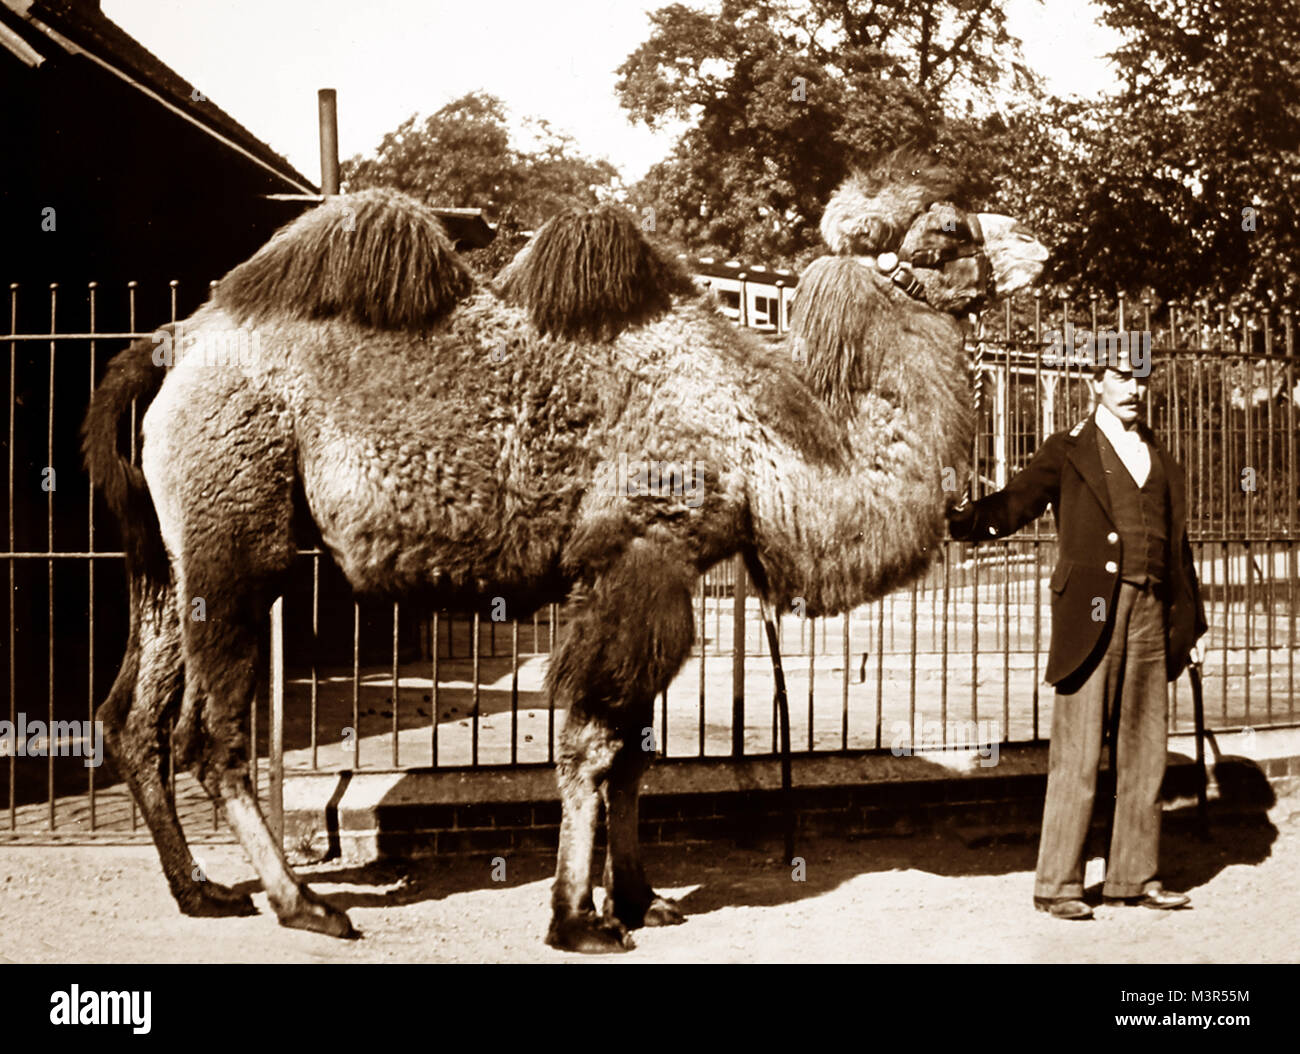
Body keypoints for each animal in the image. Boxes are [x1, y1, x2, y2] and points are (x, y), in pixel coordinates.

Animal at [82, 154, 1046, 953]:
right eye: (950, 231)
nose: (1037, 247)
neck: (766, 433)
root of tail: (172, 348)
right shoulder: (640, 553)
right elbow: (592, 741)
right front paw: (578, 918)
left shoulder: (654, 572)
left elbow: (637, 748)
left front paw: (642, 898)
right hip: (235, 543)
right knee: (210, 733)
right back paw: (305, 905)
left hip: (170, 557)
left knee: (133, 717)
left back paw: (201, 892)